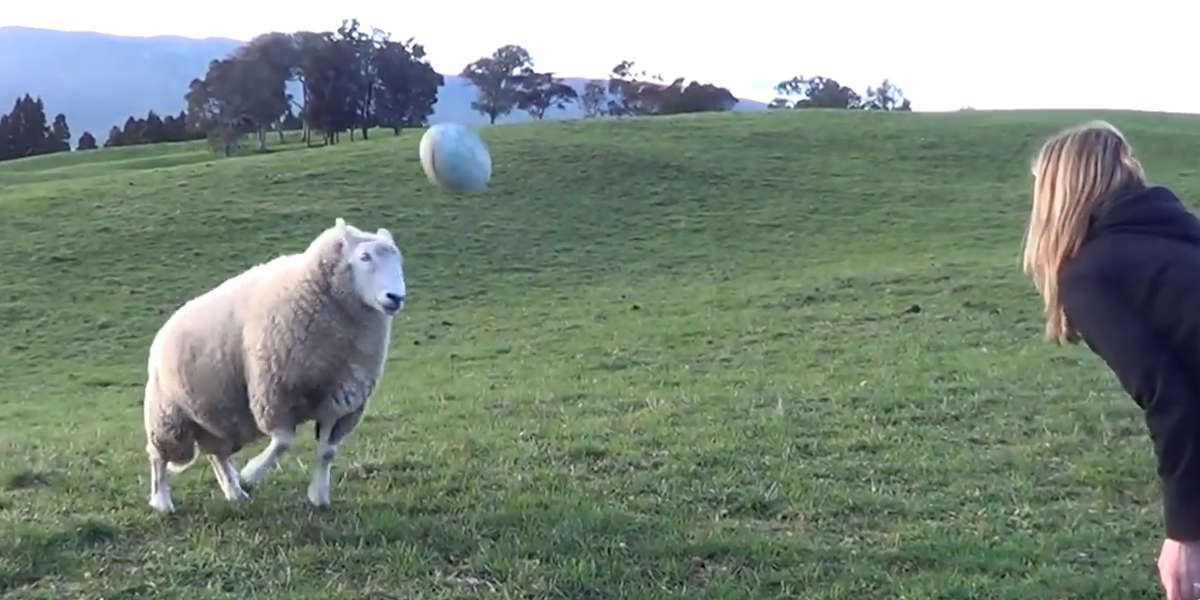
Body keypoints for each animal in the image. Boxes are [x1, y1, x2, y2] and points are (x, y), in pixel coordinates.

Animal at [141, 217, 406, 513]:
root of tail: (165, 328)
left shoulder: (337, 402)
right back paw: (162, 501)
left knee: (217, 455)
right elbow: (284, 442)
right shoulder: (274, 393)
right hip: (168, 415)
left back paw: (234, 492)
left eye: (399, 259)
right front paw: (252, 473)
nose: (396, 297)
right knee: (159, 456)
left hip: (220, 418)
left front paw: (318, 496)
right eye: (364, 257)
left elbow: (326, 452)